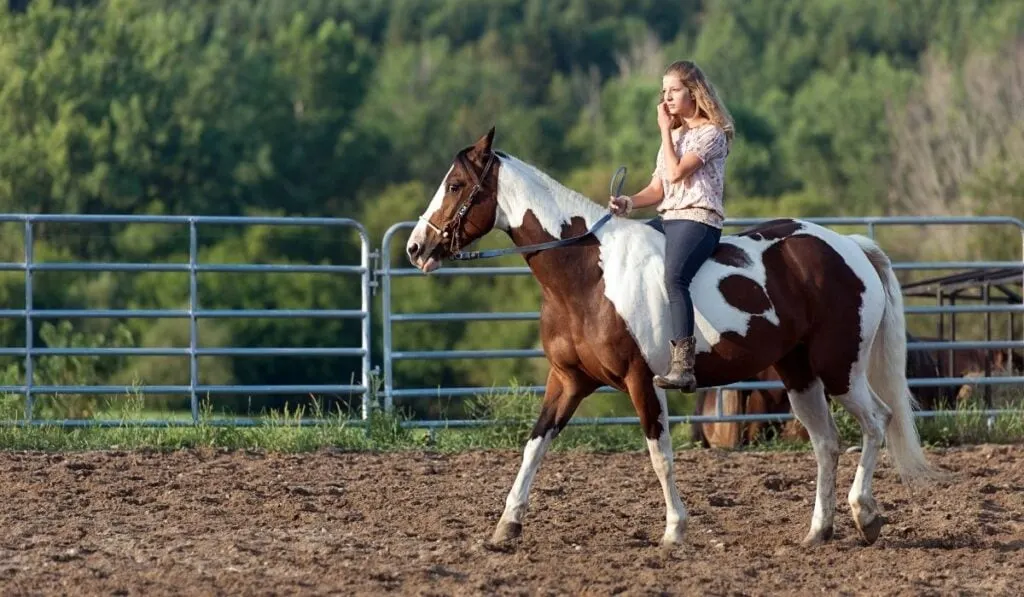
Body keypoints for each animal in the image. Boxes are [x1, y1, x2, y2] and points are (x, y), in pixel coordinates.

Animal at [404, 128, 944, 548]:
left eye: (455, 185)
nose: (416, 247)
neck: (587, 275)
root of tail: (848, 246)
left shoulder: (643, 381)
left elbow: (659, 456)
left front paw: (674, 530)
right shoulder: (568, 381)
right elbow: (534, 446)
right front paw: (506, 526)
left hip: (839, 369)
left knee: (877, 422)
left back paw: (865, 515)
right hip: (799, 374)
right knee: (827, 443)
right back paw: (818, 531)